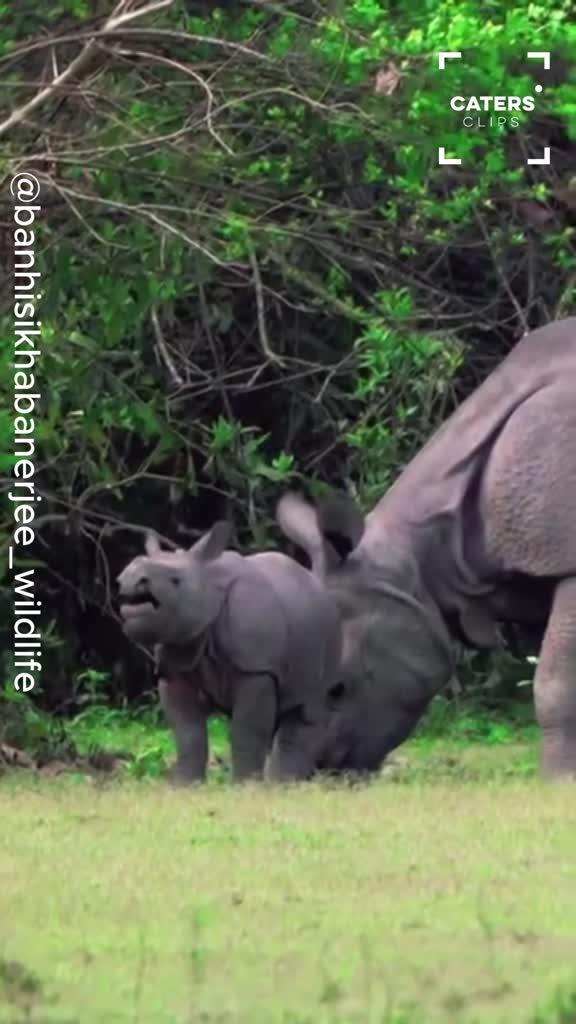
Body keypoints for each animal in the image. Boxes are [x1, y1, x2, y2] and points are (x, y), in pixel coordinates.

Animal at [116, 522, 342, 783]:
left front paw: (246, 785)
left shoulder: (258, 668)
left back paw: (283, 783)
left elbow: (247, 730)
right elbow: (187, 732)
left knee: (308, 708)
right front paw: (184, 785)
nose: (129, 579)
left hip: (331, 629)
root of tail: (317, 584)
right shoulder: (174, 663)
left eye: (175, 581)